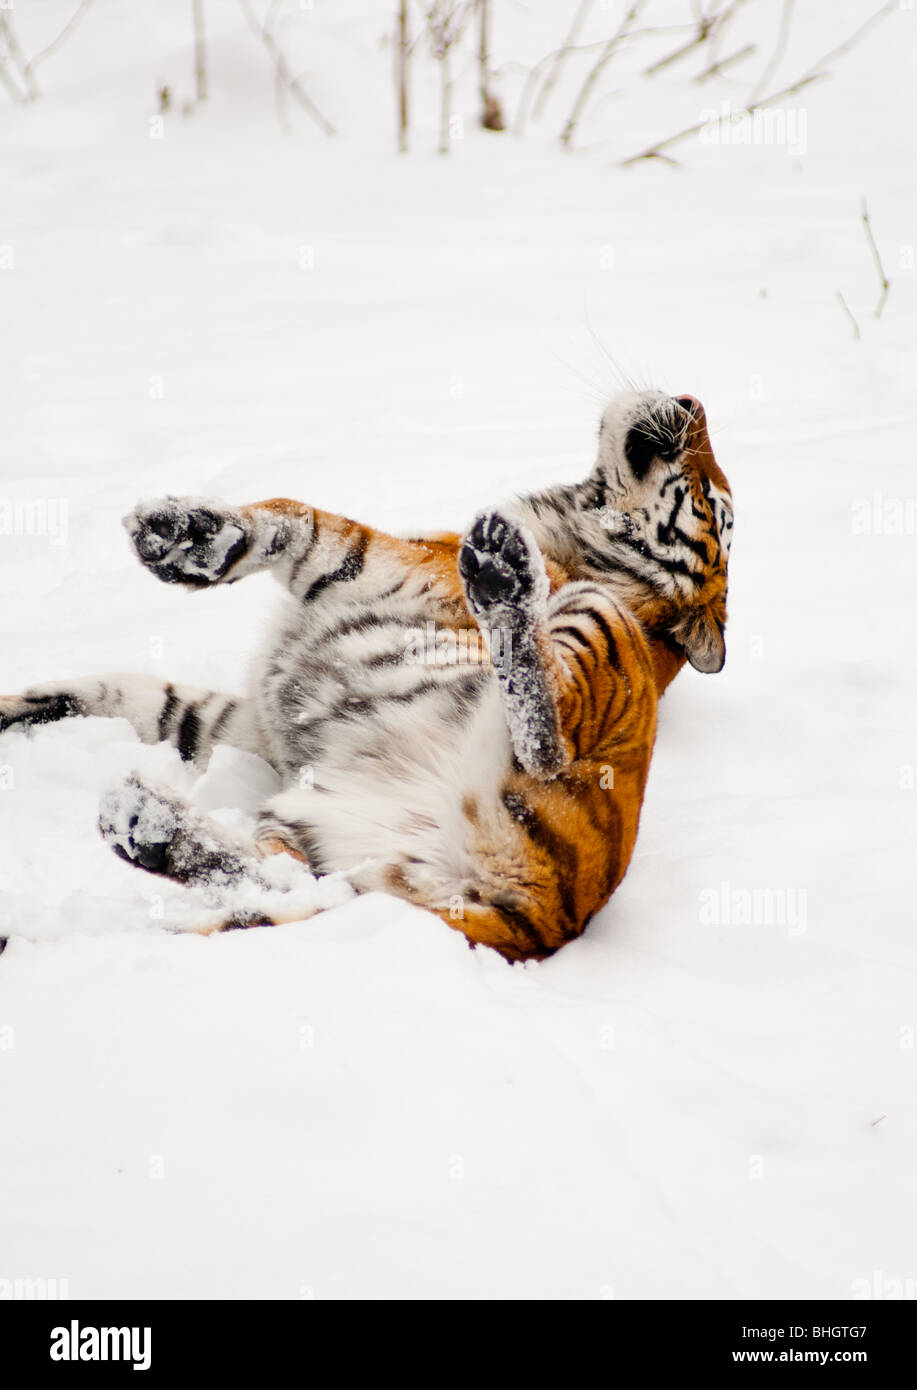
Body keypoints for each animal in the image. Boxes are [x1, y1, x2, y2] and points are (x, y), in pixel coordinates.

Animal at [0, 389, 732, 961]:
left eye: (713, 498)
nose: (692, 398)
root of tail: (540, 925)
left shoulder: (373, 557)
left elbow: (299, 519)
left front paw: (185, 537)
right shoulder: (258, 730)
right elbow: (123, 698)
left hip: (592, 631)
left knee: (544, 734)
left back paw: (503, 574)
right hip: (306, 826)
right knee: (285, 883)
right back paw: (146, 826)